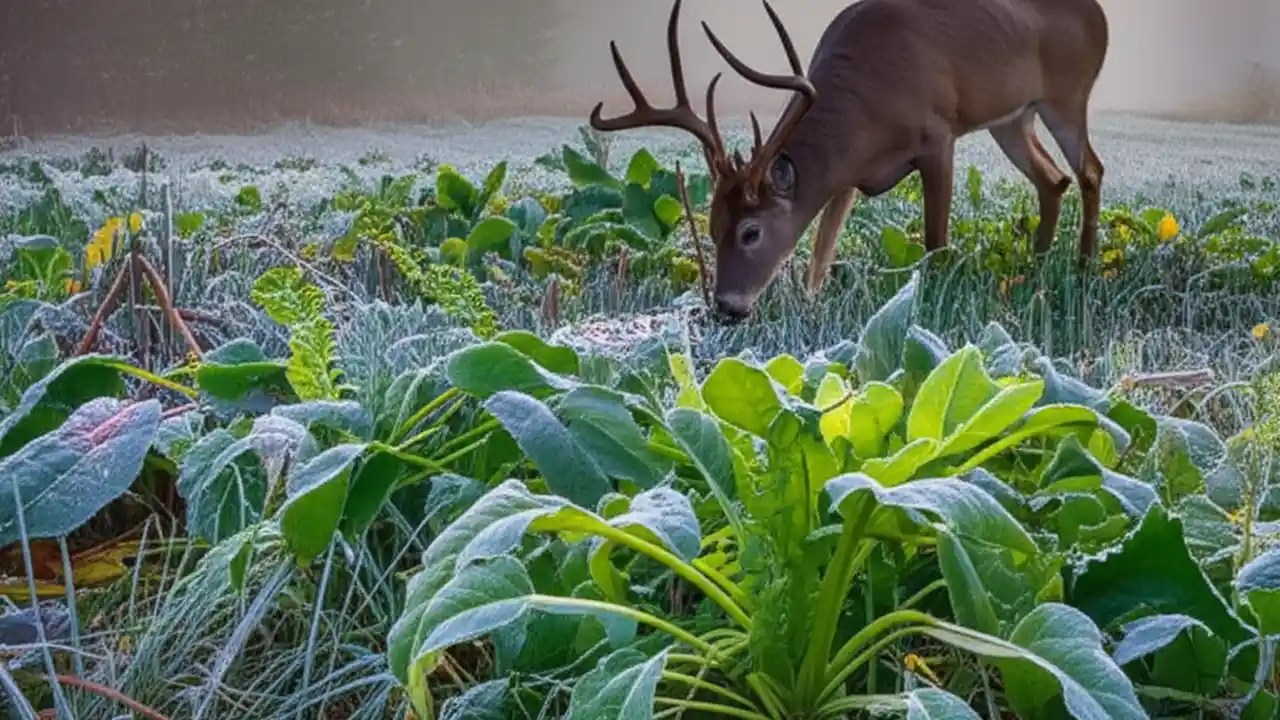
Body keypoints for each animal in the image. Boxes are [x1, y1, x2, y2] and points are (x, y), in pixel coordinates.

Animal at [588, 0, 1109, 321]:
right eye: (712, 227)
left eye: (750, 232)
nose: (728, 309)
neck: (867, 101)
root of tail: (1098, 13)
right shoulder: (846, 176)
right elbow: (820, 258)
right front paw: (811, 307)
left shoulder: (937, 135)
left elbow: (936, 244)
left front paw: (929, 311)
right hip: (1014, 118)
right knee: (1052, 180)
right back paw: (1037, 269)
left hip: (1067, 96)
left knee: (1089, 170)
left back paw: (1083, 267)